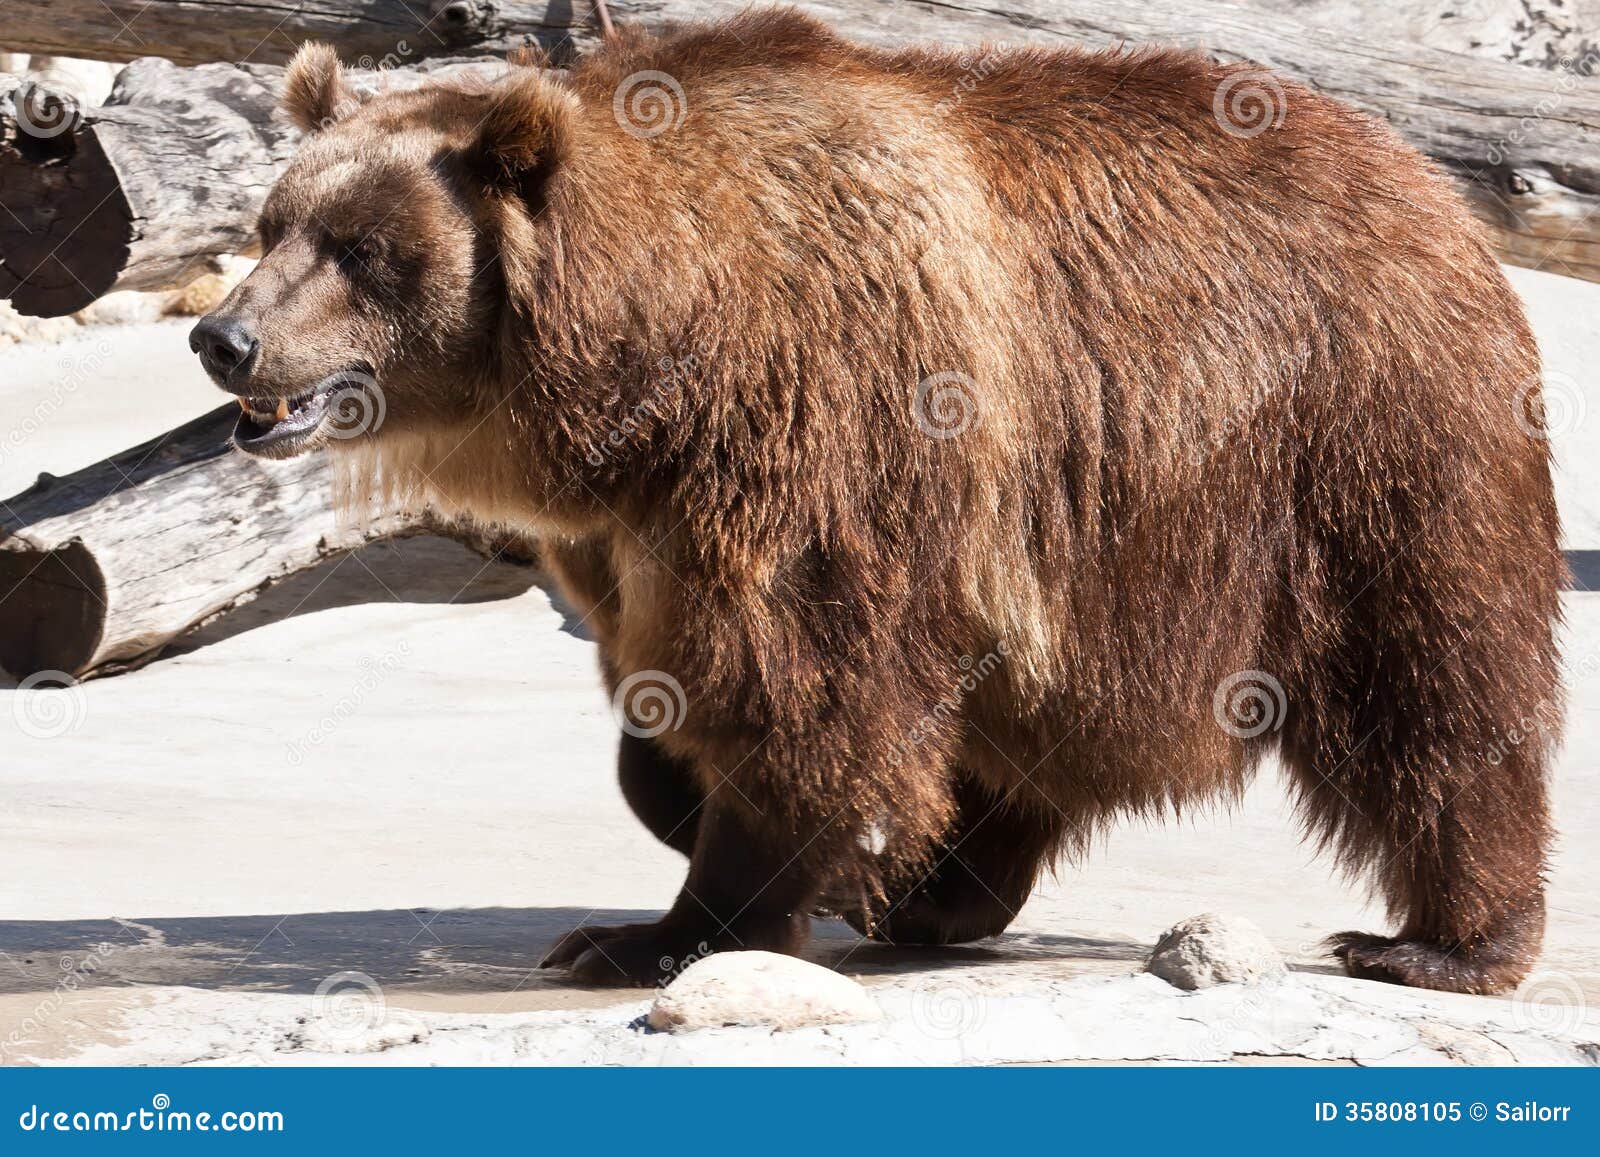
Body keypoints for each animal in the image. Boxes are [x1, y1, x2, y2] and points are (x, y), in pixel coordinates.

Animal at [188, 7, 1563, 993]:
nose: (224, 338)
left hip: (1362, 445)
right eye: (272, 221)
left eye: (366, 248)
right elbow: (679, 691)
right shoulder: (627, 525)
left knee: (1433, 680)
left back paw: (1440, 941)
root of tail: (1422, 181)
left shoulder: (826, 434)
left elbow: (801, 689)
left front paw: (661, 925)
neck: (648, 367)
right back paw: (948, 889)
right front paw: (759, 831)